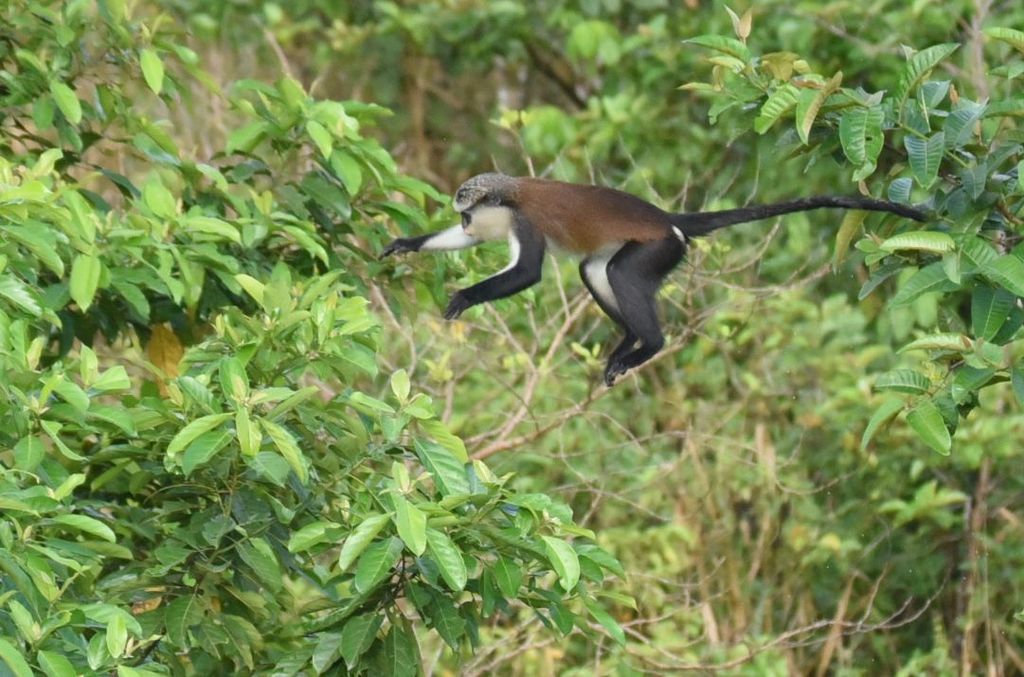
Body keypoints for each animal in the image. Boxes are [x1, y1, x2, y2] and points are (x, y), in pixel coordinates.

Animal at [382, 173, 928, 386]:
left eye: (468, 212)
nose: (468, 224)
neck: (512, 194)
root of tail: (670, 219)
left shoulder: (527, 225)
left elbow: (528, 272)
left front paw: (464, 295)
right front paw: (408, 244)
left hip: (658, 249)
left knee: (621, 273)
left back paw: (649, 345)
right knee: (593, 270)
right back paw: (628, 342)